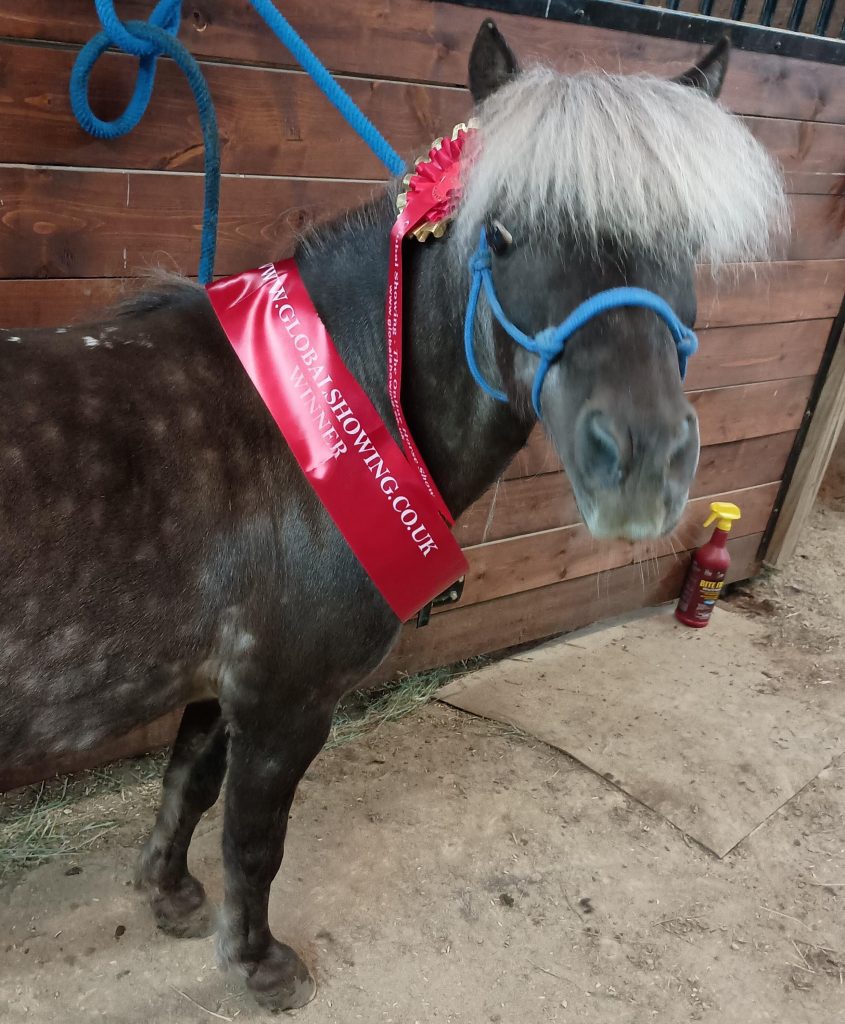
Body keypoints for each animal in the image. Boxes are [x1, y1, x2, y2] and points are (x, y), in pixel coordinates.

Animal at [0, 20, 785, 1011]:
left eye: (684, 242)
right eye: (501, 234)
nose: (642, 460)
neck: (316, 419)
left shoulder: (225, 685)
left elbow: (190, 782)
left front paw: (170, 894)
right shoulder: (287, 697)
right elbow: (254, 838)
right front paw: (259, 964)